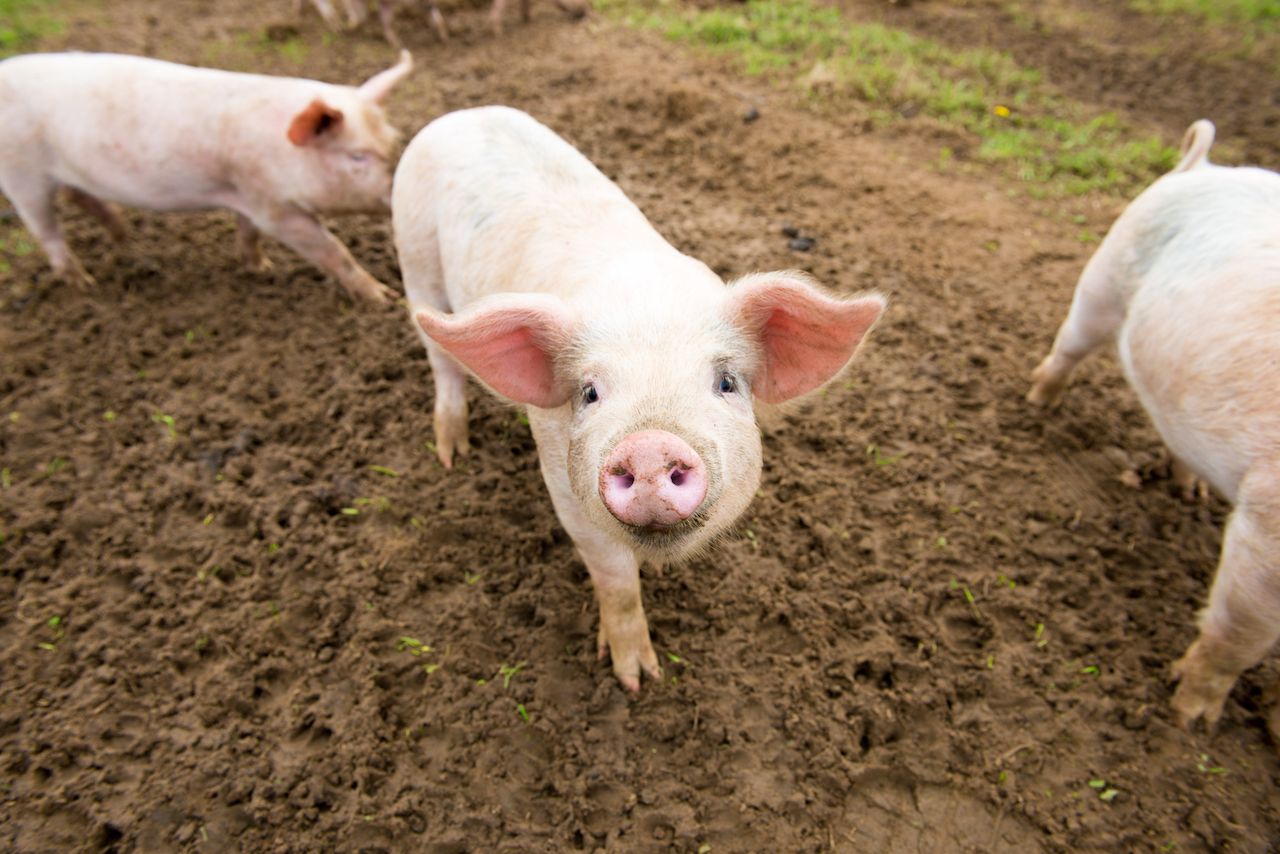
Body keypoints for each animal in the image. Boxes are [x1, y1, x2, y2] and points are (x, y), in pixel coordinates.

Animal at [0, 50, 413, 304]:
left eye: (392, 140)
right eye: (357, 156)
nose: (398, 191)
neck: (281, 152)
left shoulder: (246, 193)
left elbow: (247, 231)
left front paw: (261, 268)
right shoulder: (274, 207)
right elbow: (333, 250)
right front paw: (384, 297)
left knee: (80, 198)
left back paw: (124, 242)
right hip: (22, 175)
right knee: (46, 230)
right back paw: (84, 284)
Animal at [393, 106, 884, 690]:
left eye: (726, 382)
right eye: (589, 392)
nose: (649, 446)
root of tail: (462, 114)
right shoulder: (564, 483)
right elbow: (616, 579)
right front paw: (637, 679)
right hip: (414, 256)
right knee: (440, 358)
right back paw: (453, 453)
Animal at [1027, 119, 1280, 734]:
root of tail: (1204, 164)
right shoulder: (1268, 518)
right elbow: (1239, 636)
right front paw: (1190, 721)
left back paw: (1190, 494)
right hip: (1101, 283)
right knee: (1068, 348)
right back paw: (1039, 403)